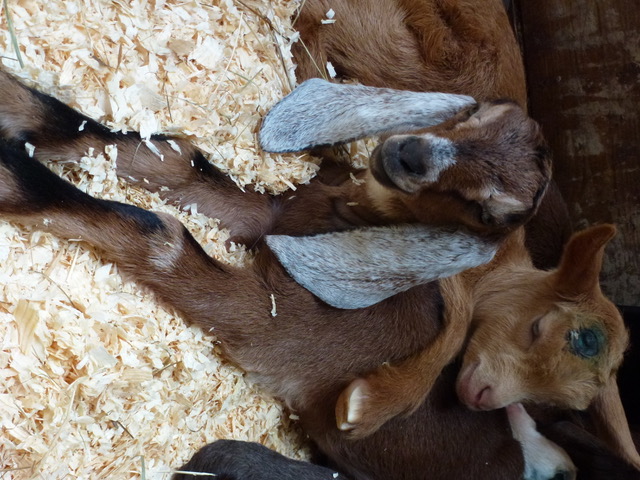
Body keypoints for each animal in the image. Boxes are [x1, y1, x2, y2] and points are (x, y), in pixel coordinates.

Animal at [0, 0, 636, 479]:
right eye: (471, 116)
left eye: (488, 210)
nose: (406, 155)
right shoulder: (273, 210)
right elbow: (159, 159)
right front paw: (14, 101)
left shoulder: (271, 323)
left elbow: (161, 235)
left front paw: (8, 172)